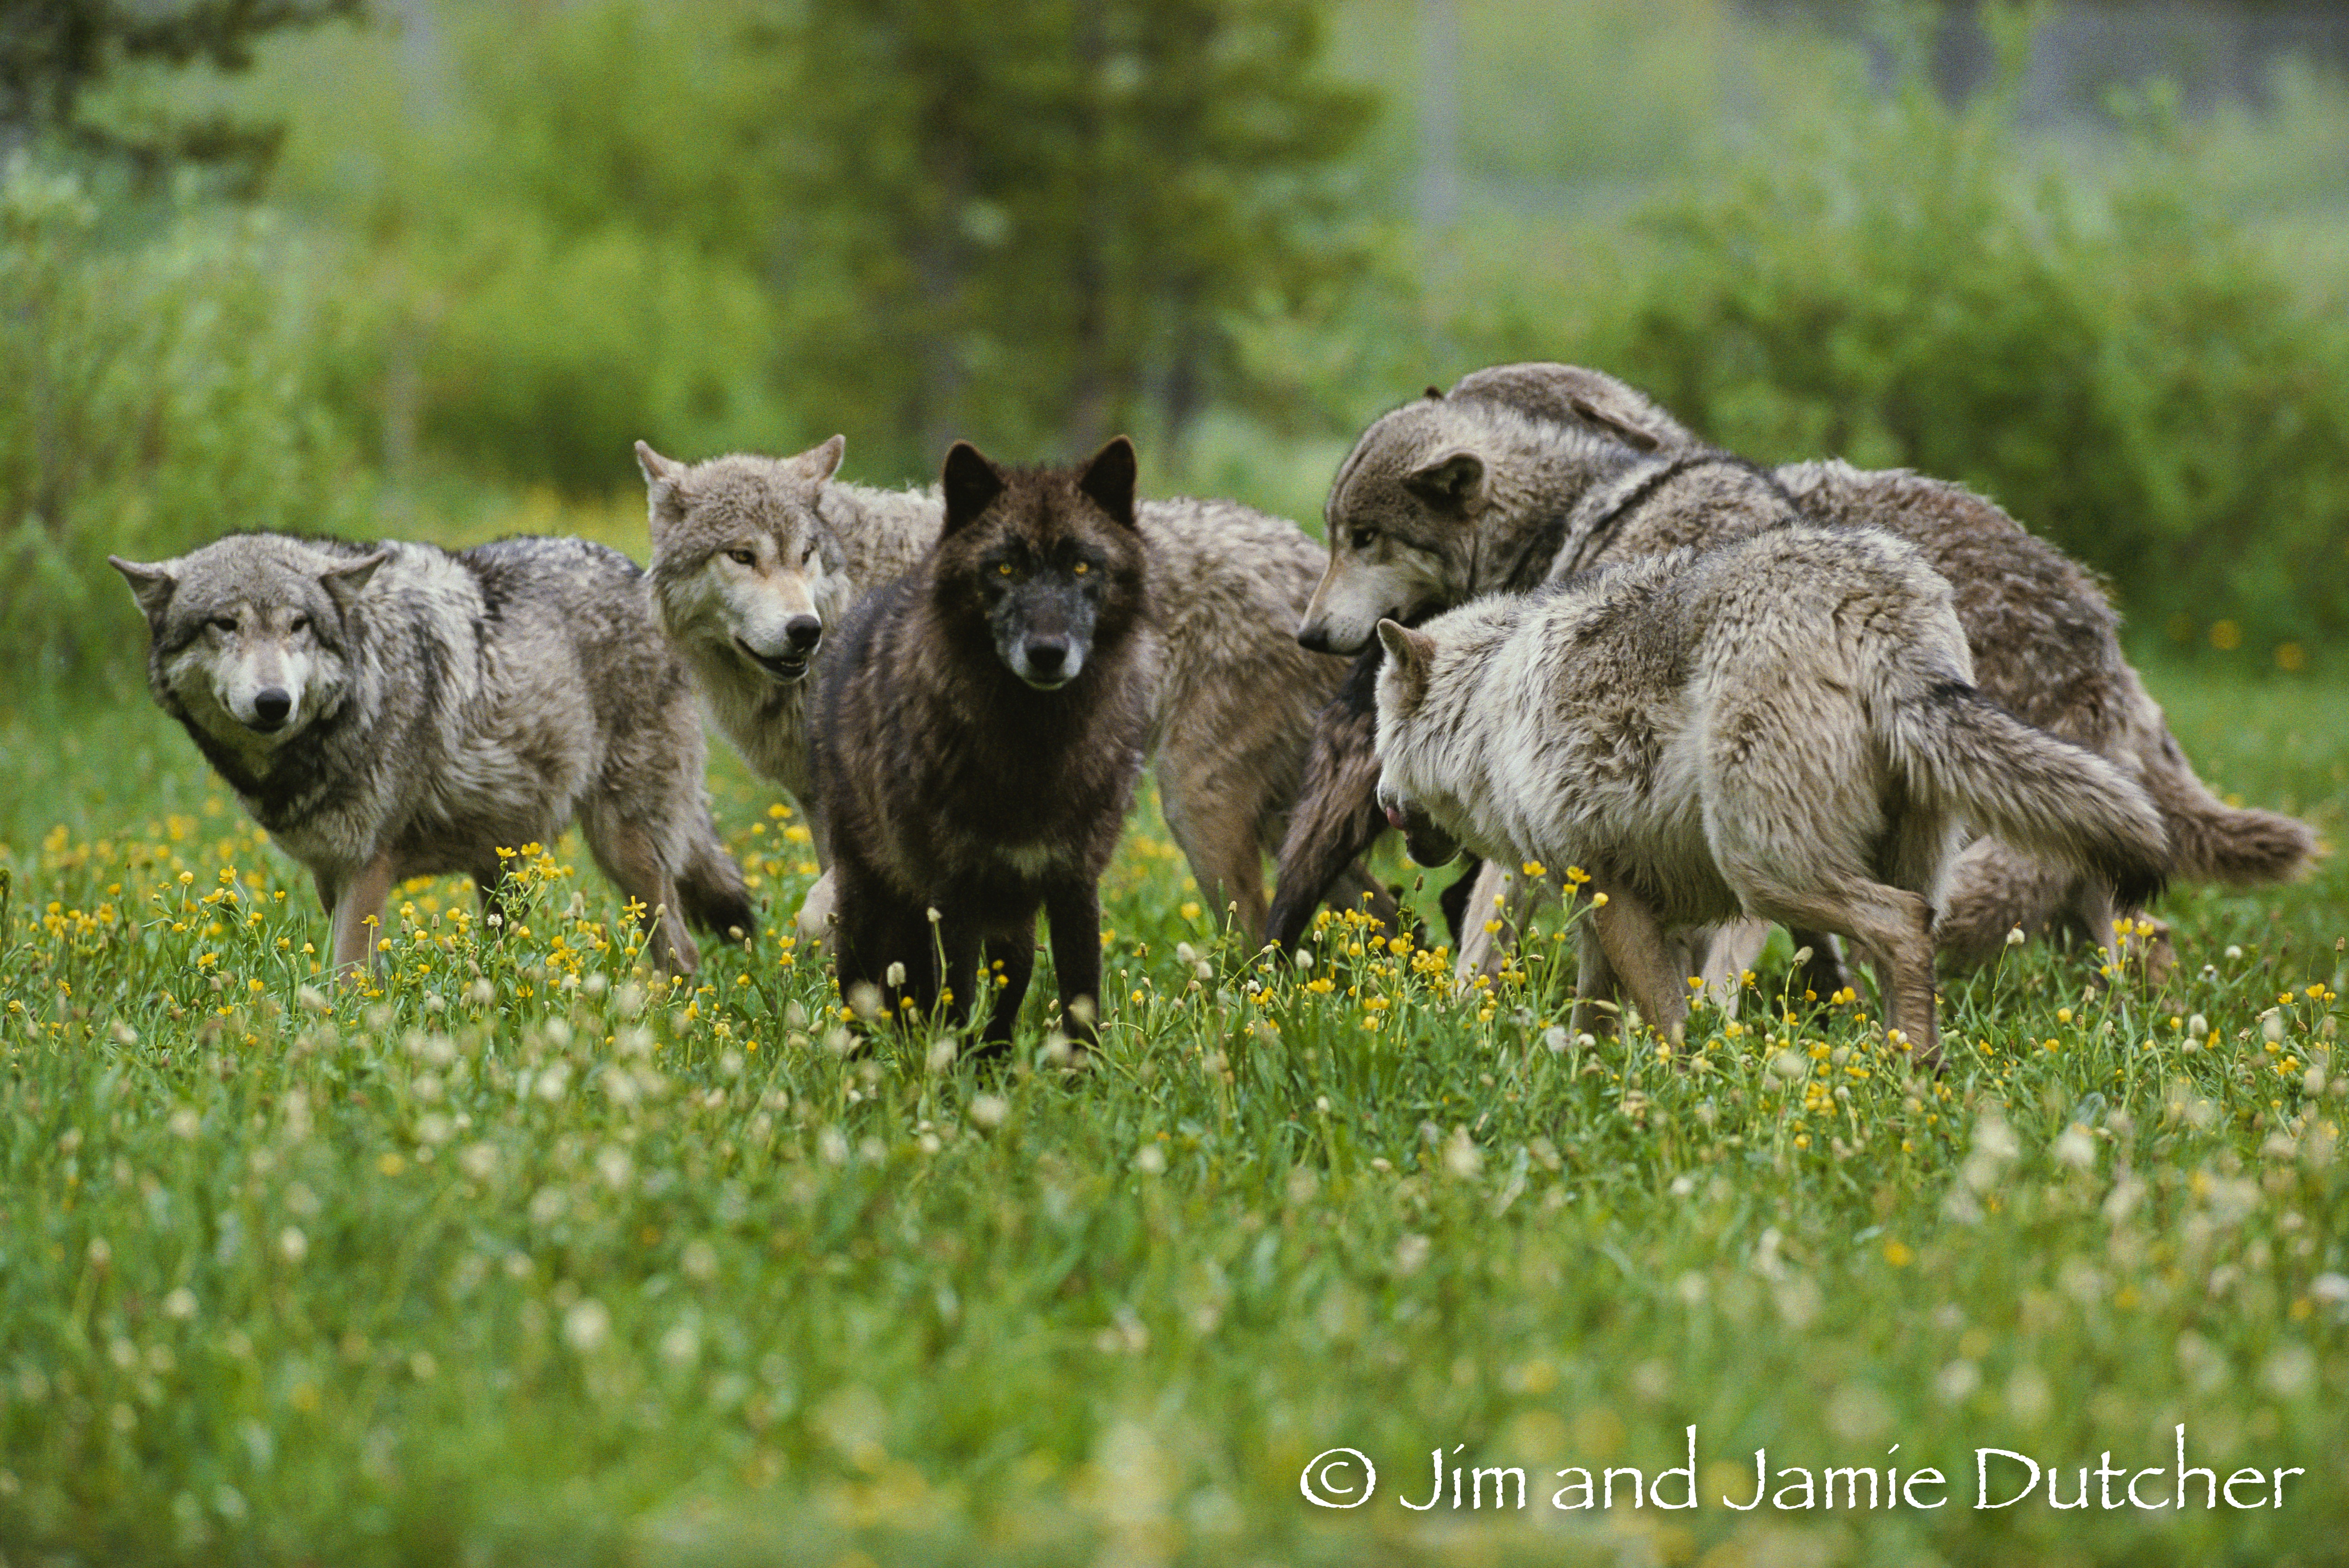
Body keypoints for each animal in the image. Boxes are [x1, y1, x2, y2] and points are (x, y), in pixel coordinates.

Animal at [113, 533, 752, 974]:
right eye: (224, 625)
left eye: (299, 626)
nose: (274, 703)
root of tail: (641, 574)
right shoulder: (330, 874)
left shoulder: (368, 867)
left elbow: (344, 978)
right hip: (502, 870)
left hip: (627, 853)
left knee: (683, 954)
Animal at [637, 434, 1380, 940]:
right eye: (742, 556)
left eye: (806, 555)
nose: (803, 631)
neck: (850, 600)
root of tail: (1321, 582)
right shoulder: (830, 804)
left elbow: (820, 910)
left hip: (1198, 811)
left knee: (1260, 932)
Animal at [811, 438, 1156, 1050]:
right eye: (1005, 567)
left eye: (1083, 566)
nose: (1047, 653)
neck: (1035, 746)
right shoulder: (954, 893)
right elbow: (954, 999)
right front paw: (945, 1072)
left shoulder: (1074, 884)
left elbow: (1081, 999)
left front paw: (1086, 1073)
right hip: (872, 896)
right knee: (863, 988)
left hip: (1009, 924)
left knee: (1007, 988)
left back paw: (992, 1057)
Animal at [1273, 363, 2314, 974]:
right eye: (1334, 534)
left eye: (1360, 539)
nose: (1310, 636)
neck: (1577, 507)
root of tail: (2100, 628)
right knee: (2137, 929)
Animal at [1371, 526, 2172, 1067]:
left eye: (1380, 737)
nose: (1380, 800)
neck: (1488, 703)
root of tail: (1872, 605)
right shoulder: (1607, 908)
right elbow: (1599, 1014)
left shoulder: (1615, 896)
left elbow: (1666, 1019)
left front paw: (1676, 1087)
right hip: (1862, 867)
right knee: (1910, 946)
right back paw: (1912, 1078)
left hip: (1762, 873)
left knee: (1903, 923)